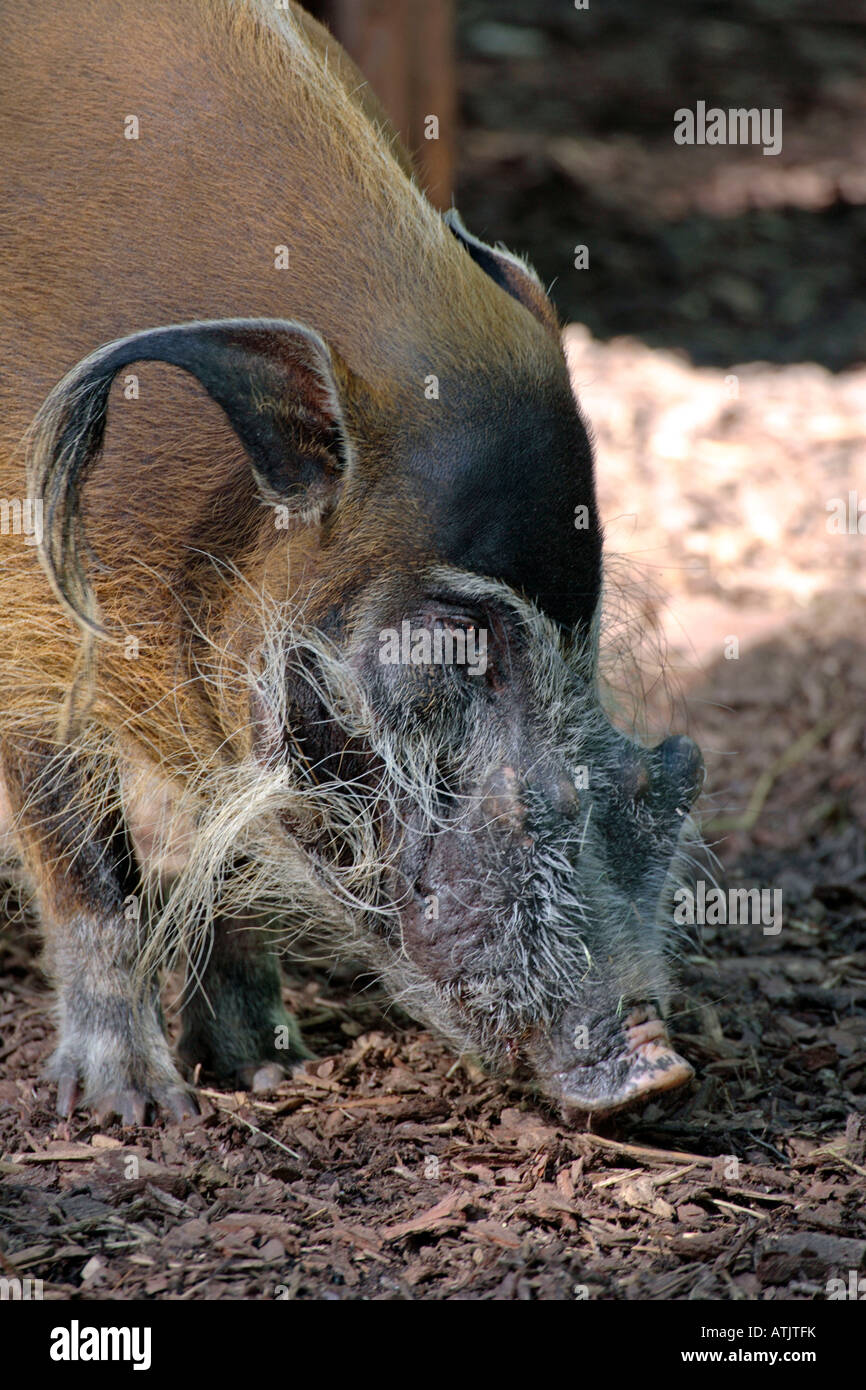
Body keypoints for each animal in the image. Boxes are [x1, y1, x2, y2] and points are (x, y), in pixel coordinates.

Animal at [0, 0, 704, 1124]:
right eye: (451, 637)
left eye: (585, 629)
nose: (655, 1070)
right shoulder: (30, 610)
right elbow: (89, 863)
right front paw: (138, 1109)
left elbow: (221, 840)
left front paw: (268, 1070)